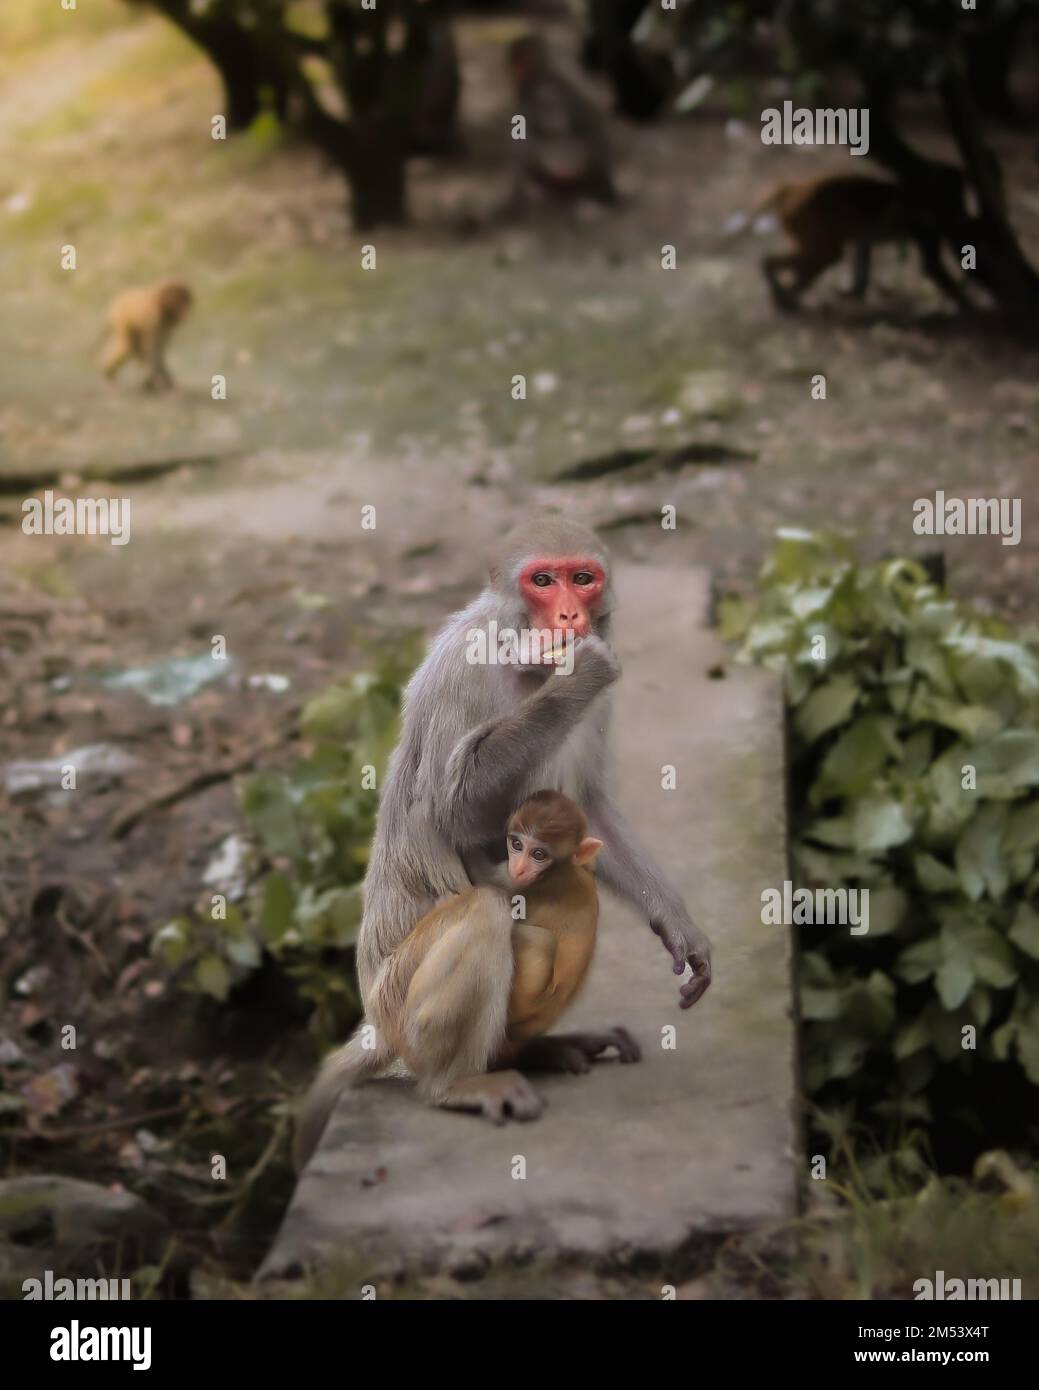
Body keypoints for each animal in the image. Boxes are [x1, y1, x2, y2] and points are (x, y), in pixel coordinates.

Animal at [292, 515, 711, 1171]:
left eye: (582, 579)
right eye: (542, 581)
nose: (568, 615)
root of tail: (374, 1022)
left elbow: (587, 807)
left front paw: (677, 923)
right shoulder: (463, 672)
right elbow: (452, 811)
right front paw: (577, 673)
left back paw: (536, 1051)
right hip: (400, 1005)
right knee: (486, 913)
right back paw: (456, 1084)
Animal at [753, 175, 975, 313]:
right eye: (955, 199)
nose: (964, 217)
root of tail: (793, 189)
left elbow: (862, 247)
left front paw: (855, 291)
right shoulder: (924, 228)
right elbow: (933, 267)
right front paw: (965, 302)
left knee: (824, 255)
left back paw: (788, 290)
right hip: (803, 216)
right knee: (827, 255)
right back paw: (783, 285)